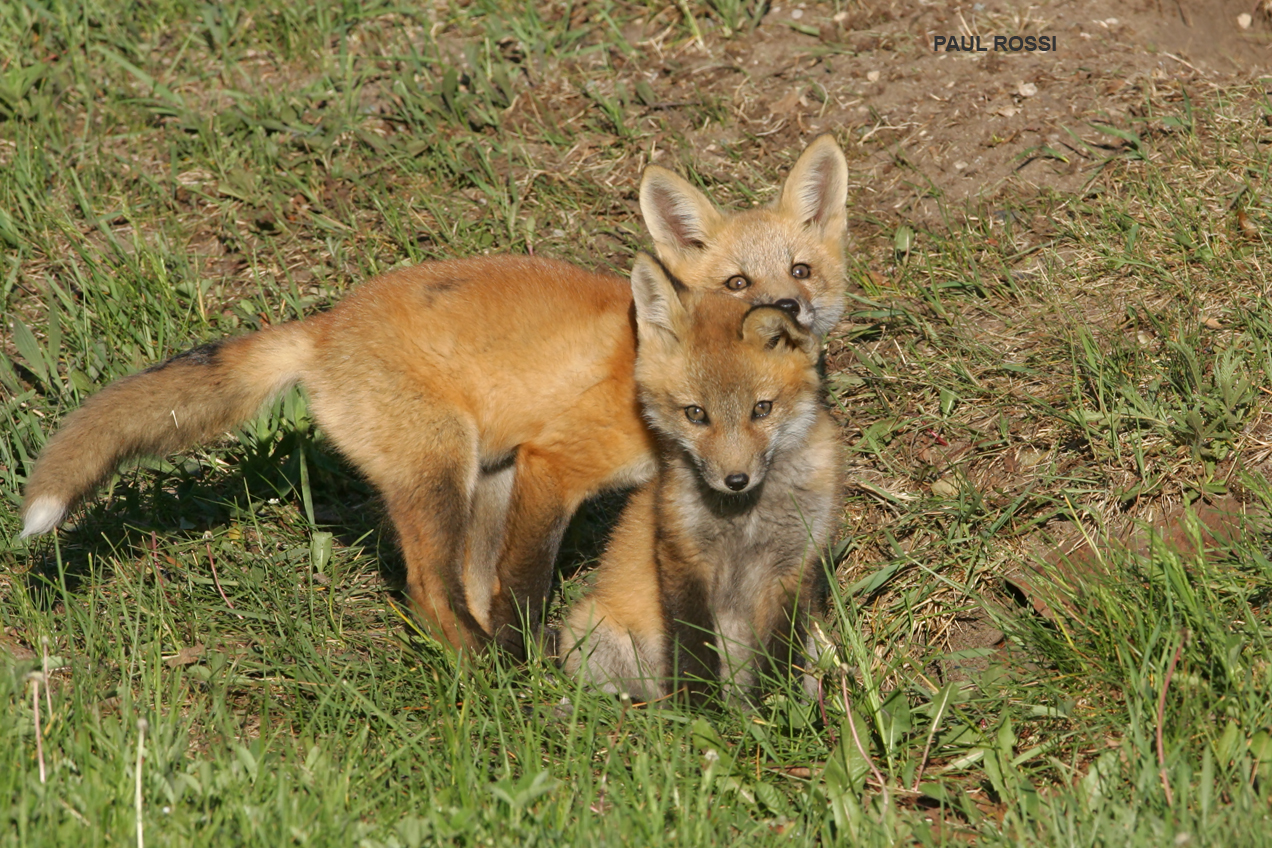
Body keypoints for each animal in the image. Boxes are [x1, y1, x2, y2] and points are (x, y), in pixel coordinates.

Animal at [16, 134, 849, 658]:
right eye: (738, 284)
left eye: (801, 271)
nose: (789, 313)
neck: (640, 369)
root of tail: (325, 325)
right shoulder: (554, 463)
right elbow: (526, 582)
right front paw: (524, 658)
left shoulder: (529, 472)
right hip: (441, 469)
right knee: (429, 587)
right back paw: (485, 673)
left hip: (482, 477)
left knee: (459, 584)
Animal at [559, 253, 841, 704]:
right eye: (695, 414)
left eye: (762, 409)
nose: (736, 479)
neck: (746, 518)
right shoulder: (682, 553)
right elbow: (693, 644)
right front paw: (700, 710)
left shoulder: (795, 564)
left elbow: (780, 651)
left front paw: (774, 708)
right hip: (590, 632)